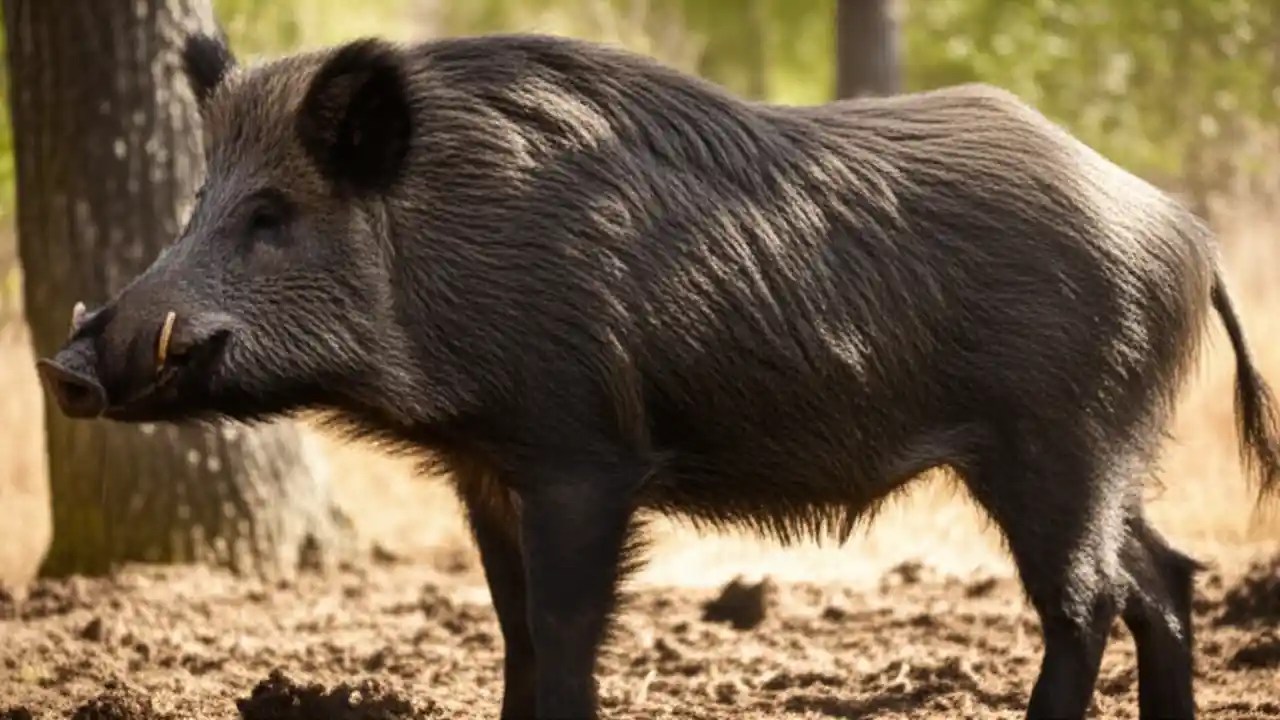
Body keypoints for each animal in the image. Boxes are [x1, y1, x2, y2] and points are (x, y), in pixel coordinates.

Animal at [36, 31, 1280, 720]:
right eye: (197, 204)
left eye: (271, 215)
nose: (68, 368)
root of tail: (1181, 230)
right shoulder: (486, 470)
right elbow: (515, 631)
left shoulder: (583, 451)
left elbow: (567, 629)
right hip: (1106, 452)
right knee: (1162, 578)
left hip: (1054, 443)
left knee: (1088, 602)